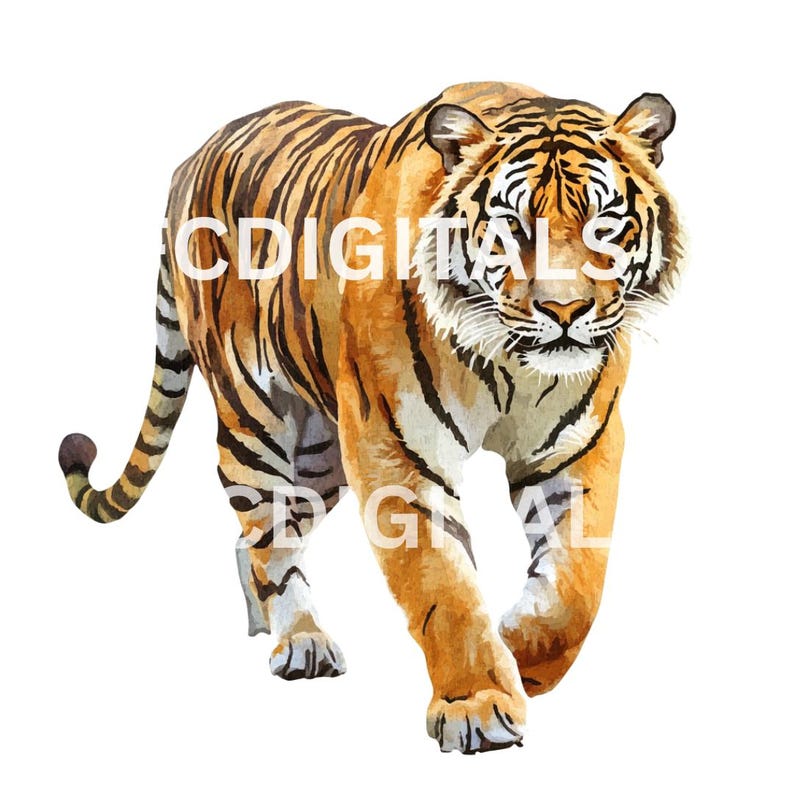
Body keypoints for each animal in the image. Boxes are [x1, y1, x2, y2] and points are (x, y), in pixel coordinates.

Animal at [59, 81, 683, 754]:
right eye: (512, 226)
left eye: (604, 225)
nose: (564, 311)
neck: (509, 364)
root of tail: (190, 159)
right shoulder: (400, 451)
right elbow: (442, 582)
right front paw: (476, 701)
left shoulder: (577, 448)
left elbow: (574, 591)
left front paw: (517, 652)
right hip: (255, 418)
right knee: (269, 536)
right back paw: (300, 640)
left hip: (320, 456)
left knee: (261, 536)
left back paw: (263, 623)